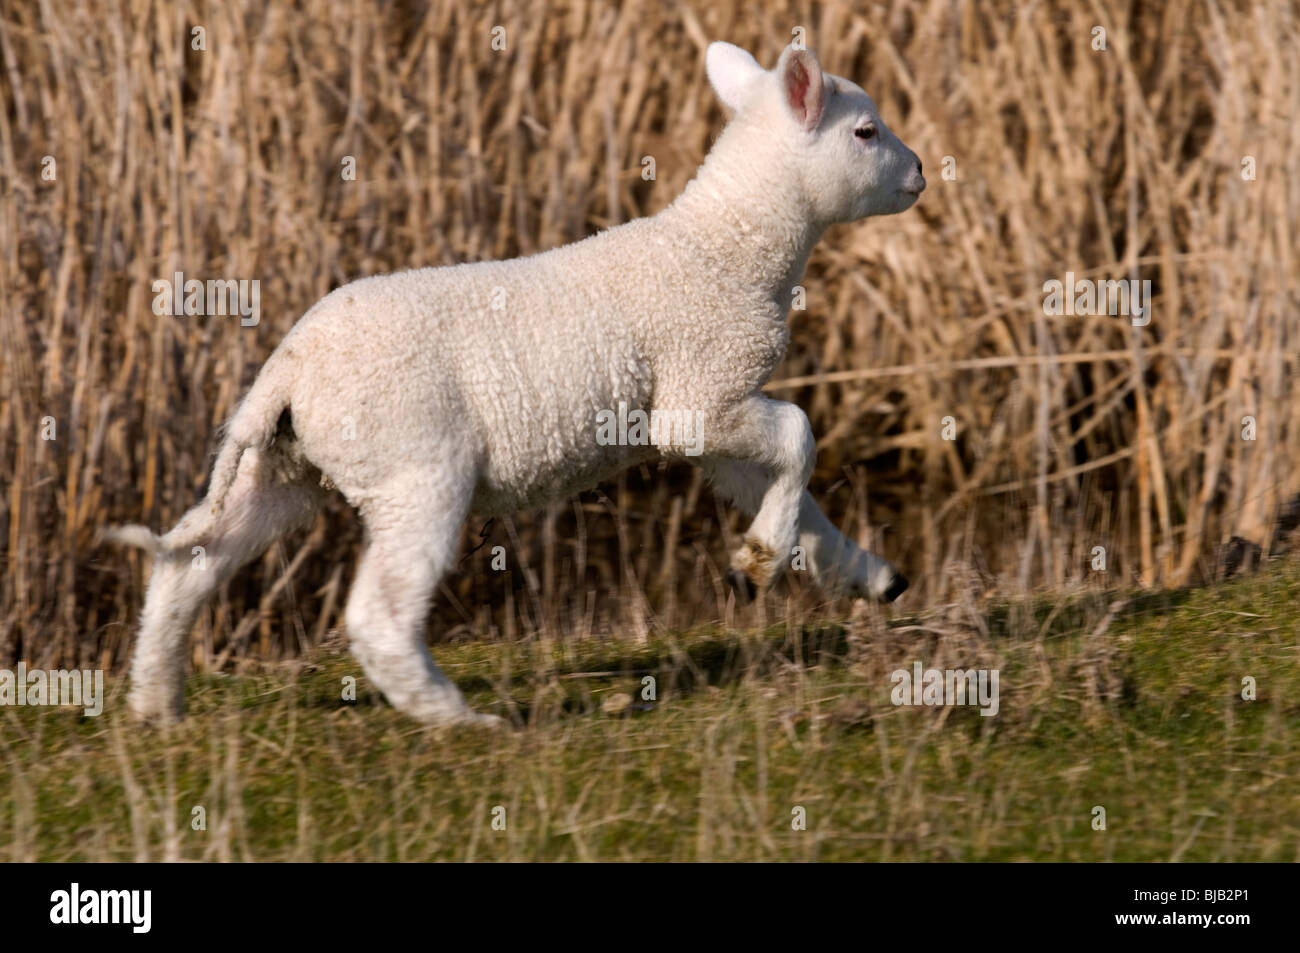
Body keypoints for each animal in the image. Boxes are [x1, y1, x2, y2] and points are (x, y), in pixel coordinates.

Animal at [106, 40, 926, 727]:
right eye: (866, 133)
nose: (920, 173)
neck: (724, 249)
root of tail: (289, 367)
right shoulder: (699, 395)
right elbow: (800, 434)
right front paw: (766, 559)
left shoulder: (713, 416)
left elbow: (792, 489)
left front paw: (848, 571)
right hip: (414, 466)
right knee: (377, 614)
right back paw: (458, 720)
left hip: (284, 466)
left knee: (187, 565)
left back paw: (156, 706)